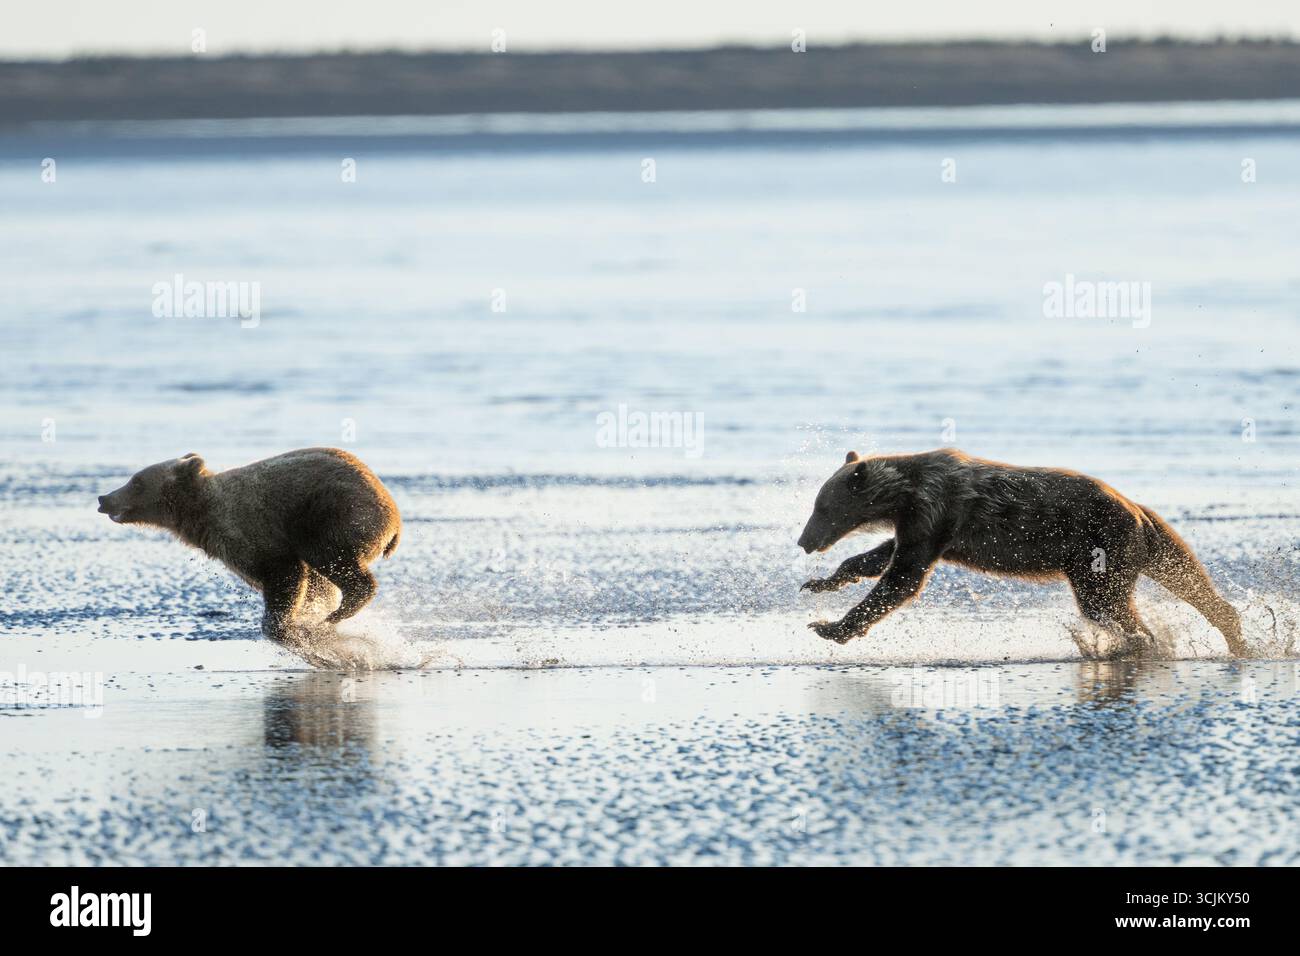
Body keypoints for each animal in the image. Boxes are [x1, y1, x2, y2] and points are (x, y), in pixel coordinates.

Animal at [97, 448, 401, 644]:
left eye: (136, 481)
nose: (104, 498)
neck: (200, 512)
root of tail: (394, 518)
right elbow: (311, 586)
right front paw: (305, 620)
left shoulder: (249, 529)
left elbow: (284, 574)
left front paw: (284, 626)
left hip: (333, 515)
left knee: (332, 558)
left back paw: (339, 611)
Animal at [797, 448, 1246, 657]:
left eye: (821, 506)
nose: (804, 541)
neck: (904, 495)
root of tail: (1134, 510)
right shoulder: (923, 525)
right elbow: (885, 556)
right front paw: (824, 581)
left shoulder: (937, 511)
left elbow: (904, 577)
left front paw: (830, 626)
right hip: (1147, 539)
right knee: (1186, 572)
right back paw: (1232, 628)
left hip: (1100, 544)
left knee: (1105, 602)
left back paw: (1139, 641)